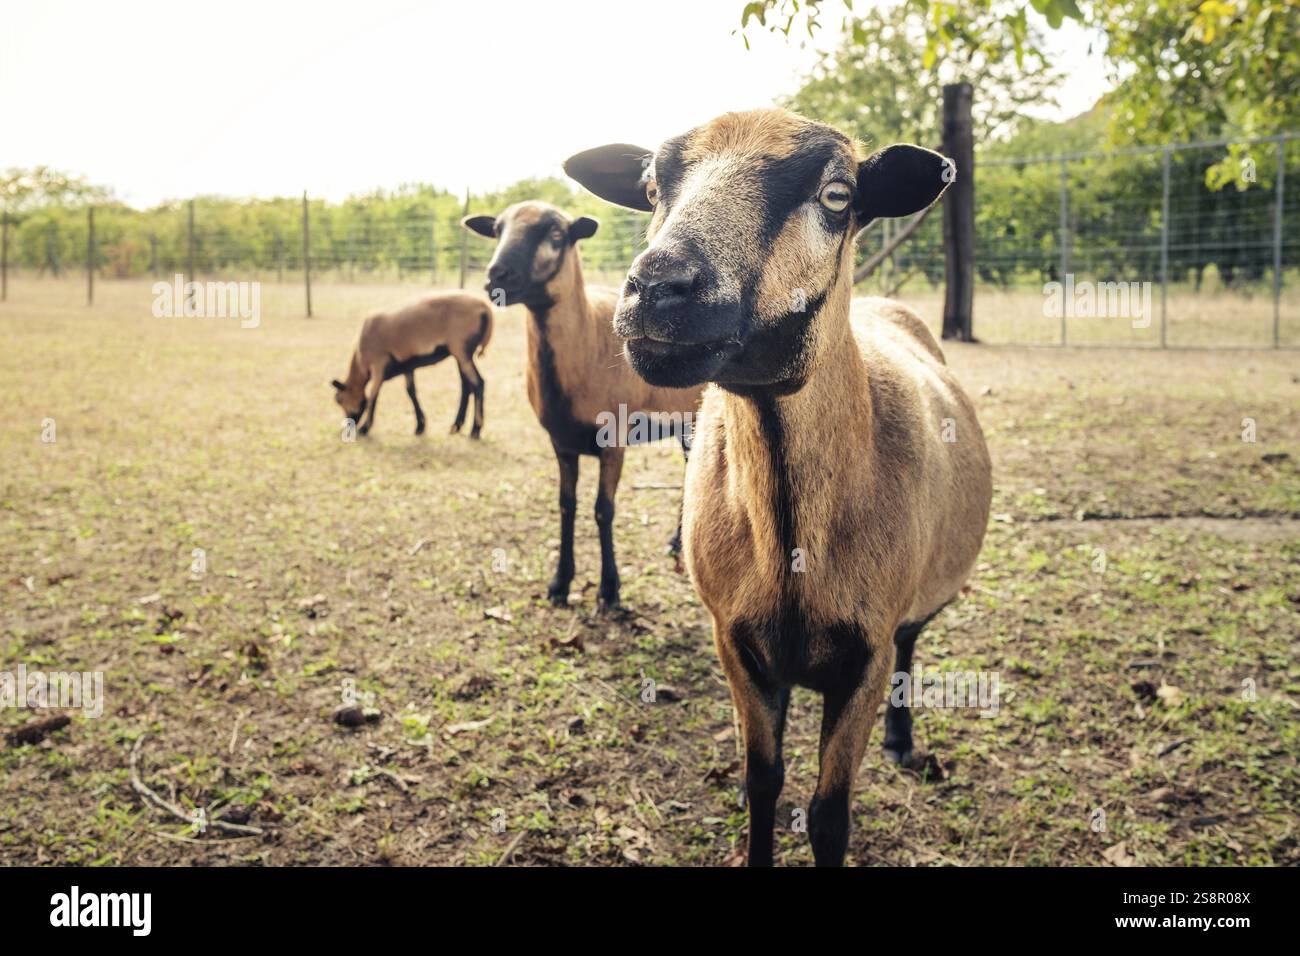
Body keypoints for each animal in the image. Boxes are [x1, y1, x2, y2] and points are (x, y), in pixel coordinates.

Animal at [332, 291, 492, 438]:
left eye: (340, 400)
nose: (348, 425)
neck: (361, 361)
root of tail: (485, 308)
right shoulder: (407, 365)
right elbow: (411, 392)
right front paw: (420, 426)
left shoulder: (378, 364)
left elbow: (373, 395)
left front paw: (364, 428)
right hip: (460, 354)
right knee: (466, 386)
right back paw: (456, 426)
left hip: (462, 349)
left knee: (478, 383)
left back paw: (475, 430)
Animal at [462, 201, 703, 608]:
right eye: (496, 230)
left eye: (556, 235)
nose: (496, 277)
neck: (588, 336)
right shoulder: (561, 442)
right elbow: (567, 505)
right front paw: (560, 583)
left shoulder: (614, 440)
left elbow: (603, 510)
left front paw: (609, 589)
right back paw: (676, 543)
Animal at [566, 109, 992, 865]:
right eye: (649, 188)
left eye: (837, 195)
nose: (657, 287)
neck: (792, 537)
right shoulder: (736, 641)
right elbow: (761, 781)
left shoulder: (865, 657)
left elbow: (828, 814)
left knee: (913, 645)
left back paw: (902, 741)